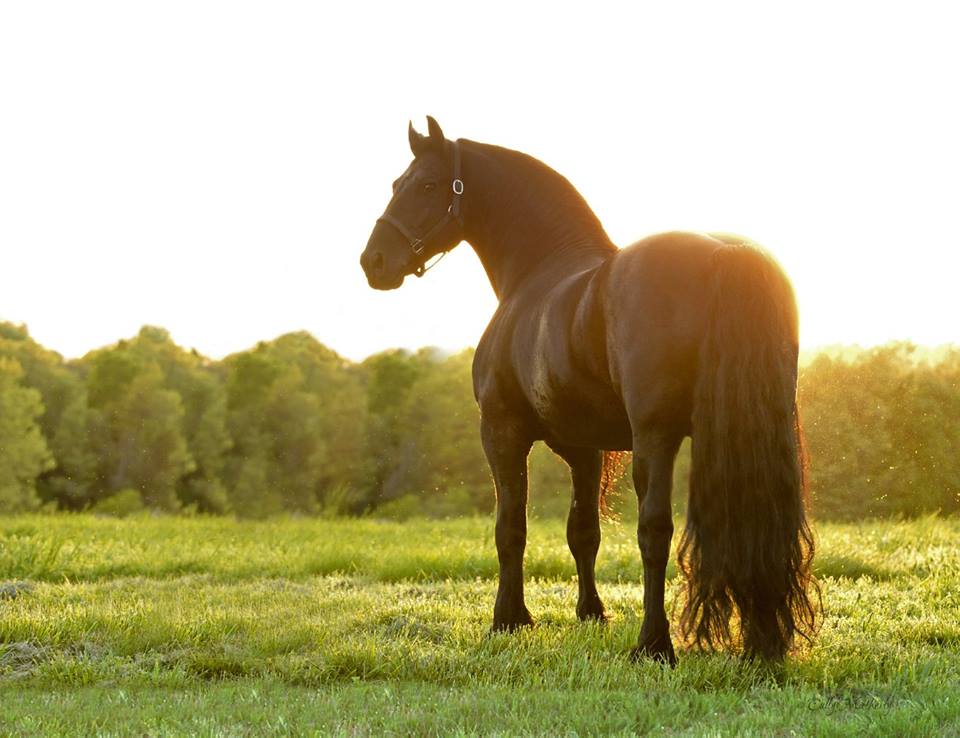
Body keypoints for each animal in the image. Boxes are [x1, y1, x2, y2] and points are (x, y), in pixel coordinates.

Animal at [360, 117, 818, 663]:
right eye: (396, 184)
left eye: (427, 185)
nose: (373, 261)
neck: (537, 275)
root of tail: (725, 253)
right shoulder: (584, 447)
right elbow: (583, 531)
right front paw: (591, 613)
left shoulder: (502, 432)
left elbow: (510, 528)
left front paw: (507, 620)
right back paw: (760, 641)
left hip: (657, 438)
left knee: (653, 531)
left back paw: (654, 644)